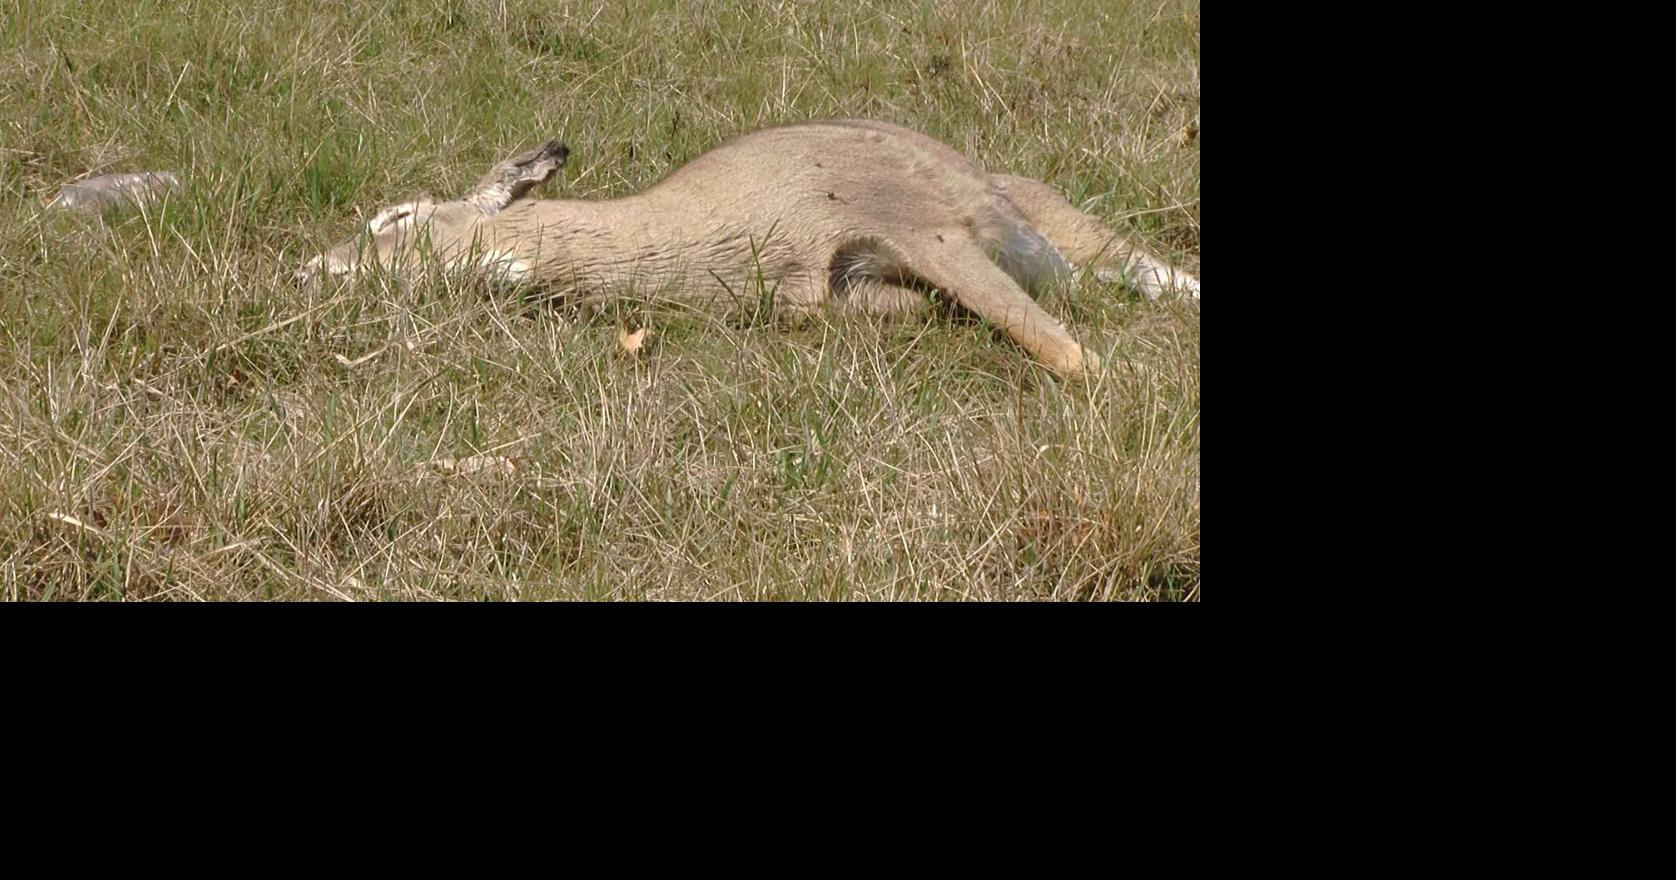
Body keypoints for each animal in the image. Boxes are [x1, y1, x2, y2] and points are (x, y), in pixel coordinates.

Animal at [295, 119, 1199, 377]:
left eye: (395, 218)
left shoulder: (926, 227)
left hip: (1056, 220)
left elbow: (1066, 354)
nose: (310, 272)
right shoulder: (834, 297)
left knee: (1155, 272)